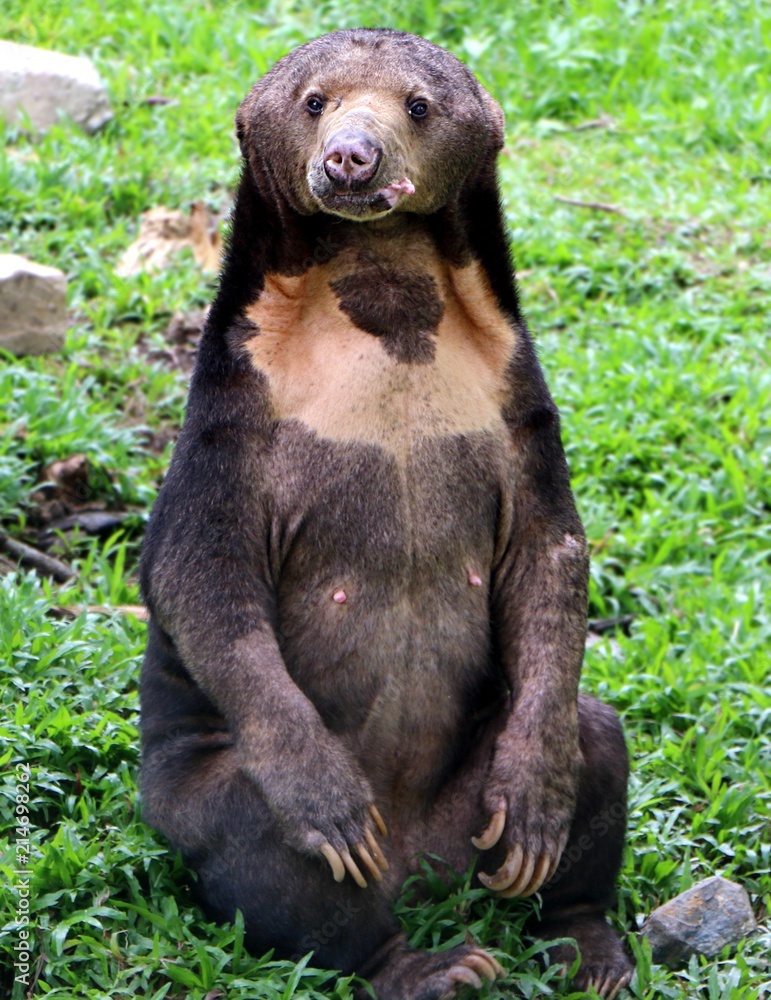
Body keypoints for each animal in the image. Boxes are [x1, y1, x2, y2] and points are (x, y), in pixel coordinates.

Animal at [139, 27, 634, 1000]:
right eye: (315, 102)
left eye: (416, 106)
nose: (351, 160)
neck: (384, 288)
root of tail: (416, 866)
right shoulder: (232, 416)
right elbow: (199, 576)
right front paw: (327, 801)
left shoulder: (517, 402)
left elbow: (548, 553)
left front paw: (535, 801)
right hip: (207, 792)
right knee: (267, 843)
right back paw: (427, 961)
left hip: (473, 810)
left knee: (595, 742)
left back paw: (584, 942)